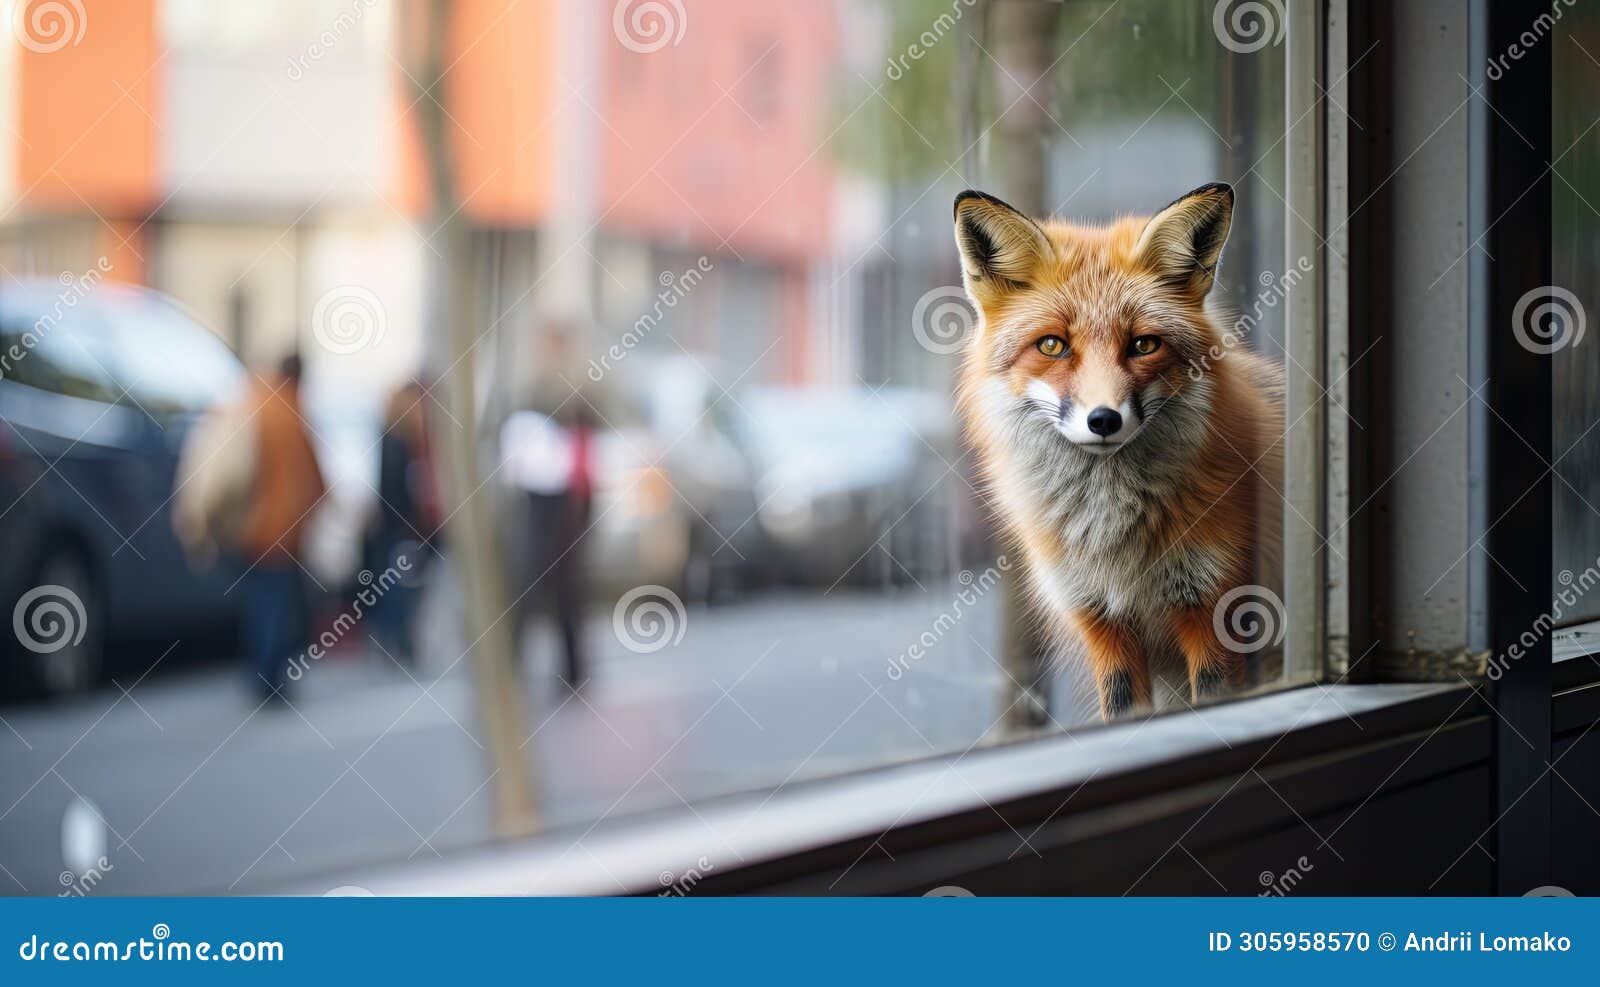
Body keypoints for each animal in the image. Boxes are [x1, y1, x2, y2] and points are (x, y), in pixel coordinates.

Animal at [950, 183, 1284, 722]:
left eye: (1144, 345)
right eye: (1052, 345)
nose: (1104, 420)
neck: (1112, 539)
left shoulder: (1216, 605)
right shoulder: (1099, 620)